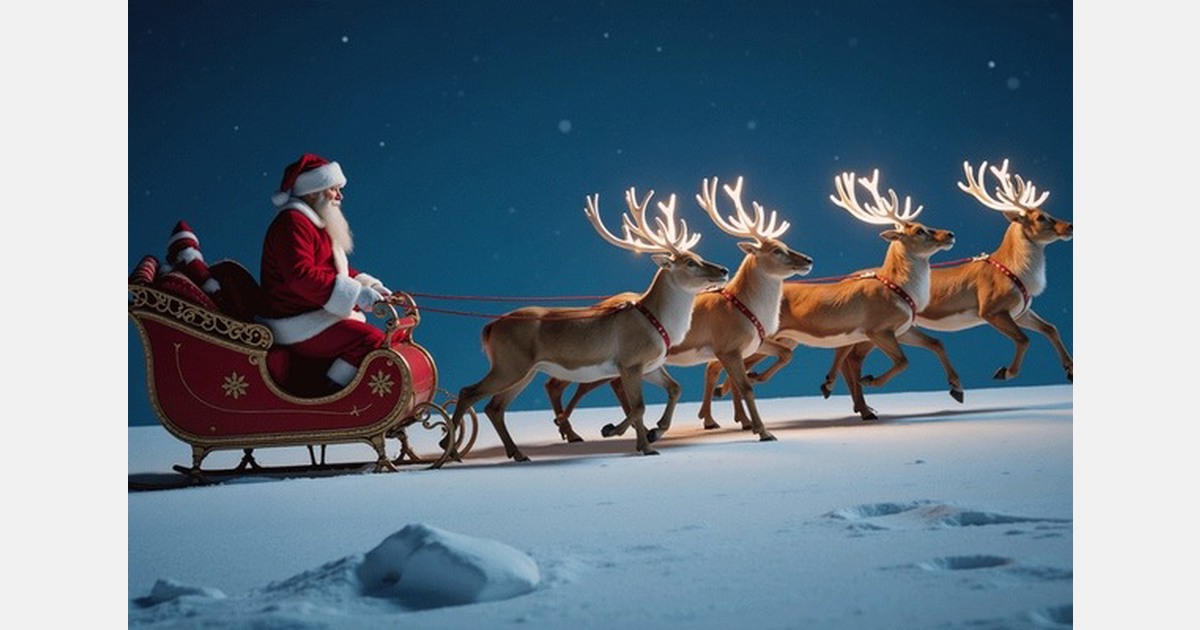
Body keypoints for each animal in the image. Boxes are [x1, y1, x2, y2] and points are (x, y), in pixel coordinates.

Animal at [446, 188, 729, 462]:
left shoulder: (649, 366)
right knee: (468, 392)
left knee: (494, 406)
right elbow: (638, 407)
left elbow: (675, 389)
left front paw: (653, 432)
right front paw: (628, 437)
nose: (724, 270)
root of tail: (490, 327)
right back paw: (451, 452)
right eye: (690, 262)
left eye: (699, 255)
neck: (657, 321)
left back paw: (517, 453)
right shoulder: (630, 362)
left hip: (523, 370)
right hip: (509, 365)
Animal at [547, 176, 814, 443]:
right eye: (777, 250)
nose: (809, 260)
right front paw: (763, 430)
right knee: (564, 383)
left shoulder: (754, 342)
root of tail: (596, 305)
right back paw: (574, 431)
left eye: (786, 244)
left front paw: (755, 380)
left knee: (592, 384)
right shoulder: (728, 347)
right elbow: (745, 387)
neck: (746, 305)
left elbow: (785, 354)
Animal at [714, 169, 957, 424]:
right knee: (721, 367)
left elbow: (936, 343)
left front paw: (957, 388)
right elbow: (903, 361)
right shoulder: (879, 329)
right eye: (919, 230)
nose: (950, 234)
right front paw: (870, 380)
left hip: (783, 339)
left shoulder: (902, 329)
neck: (899, 287)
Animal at [808, 159, 1073, 418]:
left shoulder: (1020, 310)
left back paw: (851, 399)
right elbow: (1024, 339)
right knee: (850, 356)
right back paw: (844, 394)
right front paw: (1003, 372)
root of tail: (848, 277)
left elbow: (1050, 328)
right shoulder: (992, 309)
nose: (1069, 225)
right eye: (1040, 217)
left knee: (848, 354)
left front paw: (1069, 370)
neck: (1015, 270)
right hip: (876, 329)